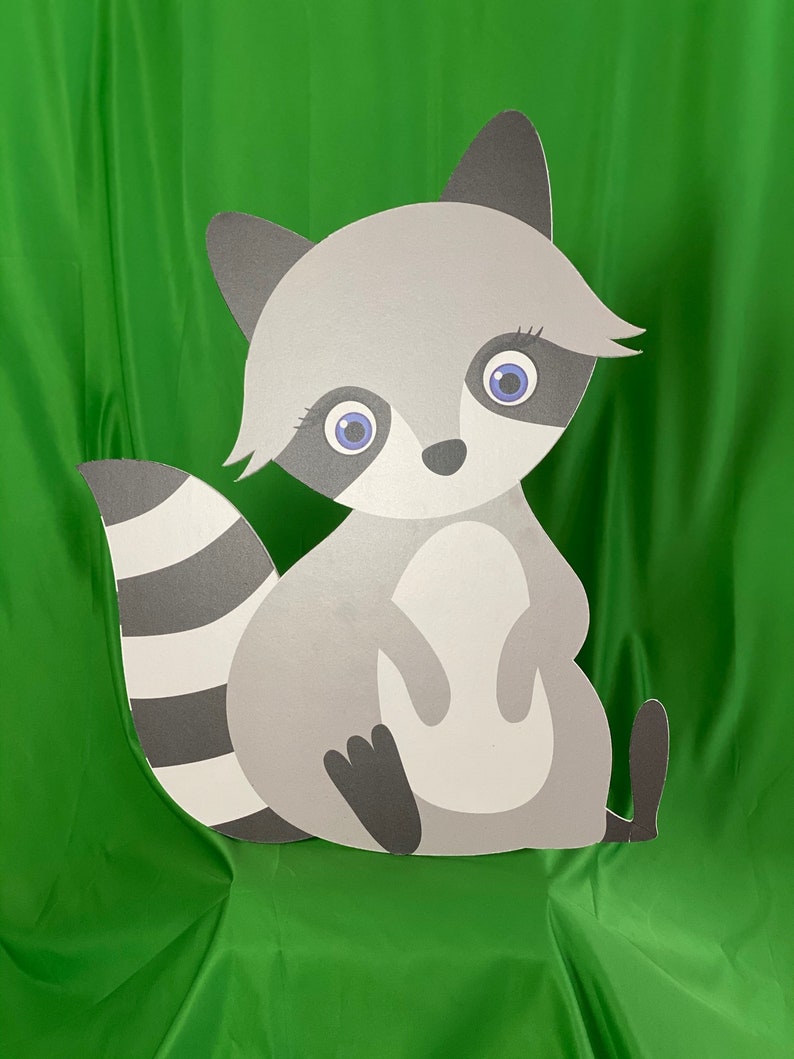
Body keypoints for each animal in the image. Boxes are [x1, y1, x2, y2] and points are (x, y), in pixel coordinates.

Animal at [81, 111, 668, 855]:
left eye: (509, 379)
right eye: (352, 428)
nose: (447, 456)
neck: (445, 520)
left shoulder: (540, 567)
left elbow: (564, 615)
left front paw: (511, 670)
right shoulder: (355, 600)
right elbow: (373, 630)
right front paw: (428, 680)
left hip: (574, 731)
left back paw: (623, 802)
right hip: (322, 745)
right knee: (380, 814)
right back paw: (382, 801)